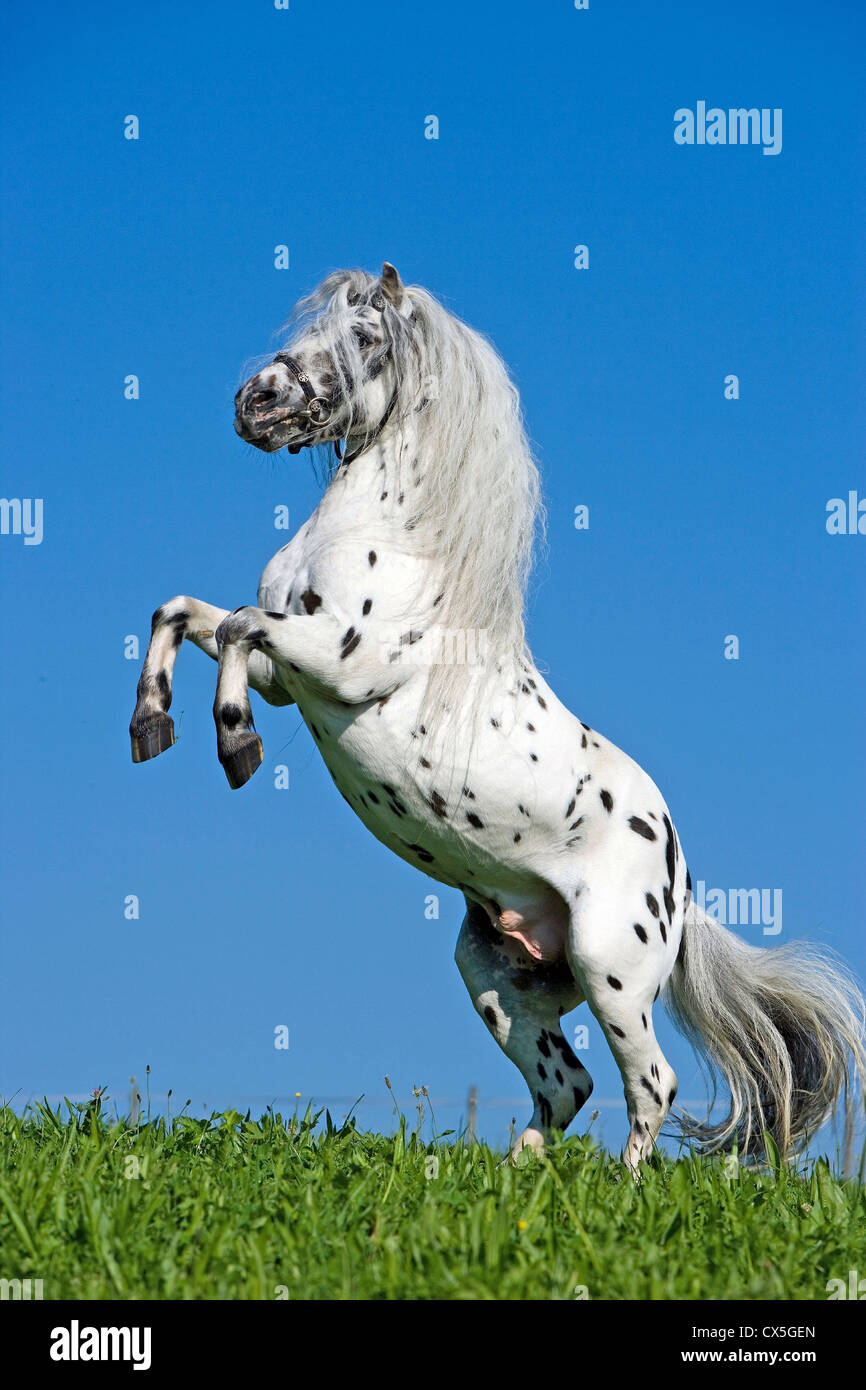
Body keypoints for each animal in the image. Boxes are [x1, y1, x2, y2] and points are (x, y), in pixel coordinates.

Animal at [130, 261, 866, 1171]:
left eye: (365, 338)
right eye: (310, 328)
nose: (255, 401)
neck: (399, 541)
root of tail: (680, 876)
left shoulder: (336, 662)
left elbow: (233, 624)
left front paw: (236, 746)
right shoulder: (283, 673)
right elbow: (180, 612)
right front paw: (152, 727)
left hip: (610, 969)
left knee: (649, 1086)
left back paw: (621, 1192)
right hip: (494, 973)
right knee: (567, 1085)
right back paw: (517, 1179)